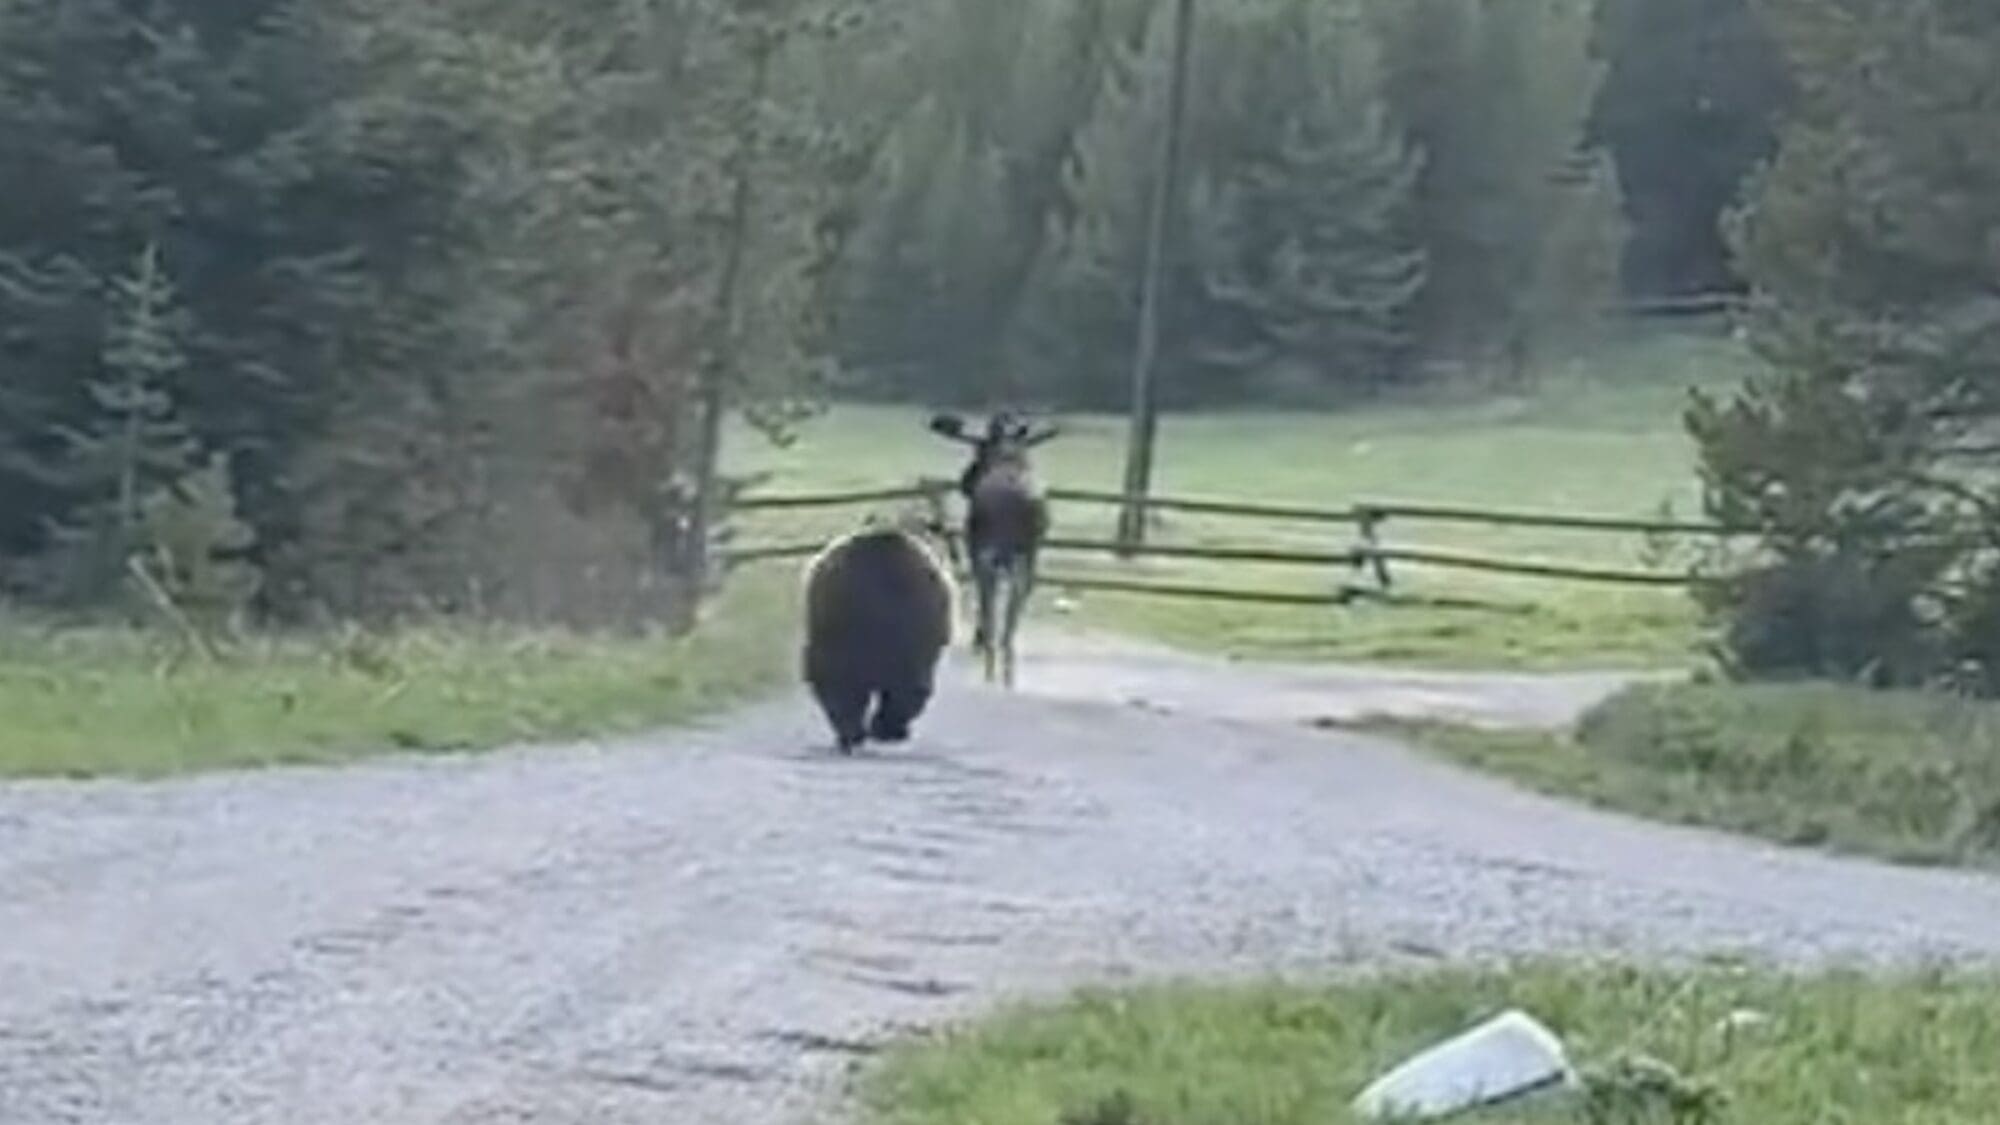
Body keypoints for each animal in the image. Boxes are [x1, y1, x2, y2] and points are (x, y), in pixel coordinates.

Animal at [928, 411, 1060, 688]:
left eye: (979, 449)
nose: (965, 480)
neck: (1009, 455)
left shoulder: (977, 549)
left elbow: (985, 601)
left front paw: (979, 643)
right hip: (1026, 558)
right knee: (1013, 606)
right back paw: (1007, 666)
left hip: (993, 553)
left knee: (991, 601)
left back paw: (991, 661)